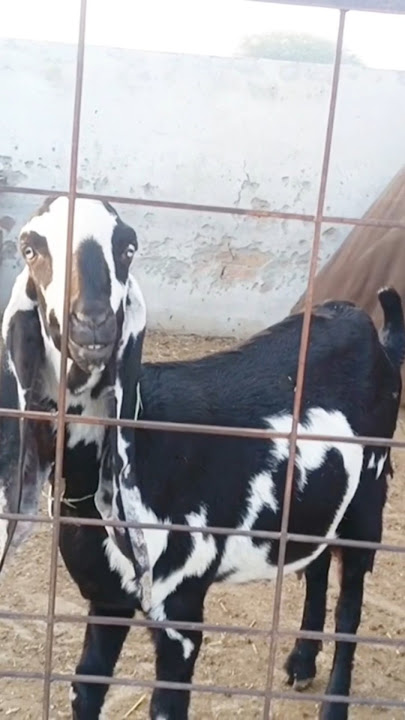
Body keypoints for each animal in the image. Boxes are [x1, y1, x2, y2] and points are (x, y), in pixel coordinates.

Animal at [0, 196, 404, 720]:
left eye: (128, 247)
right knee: (314, 565)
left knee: (350, 604)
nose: (92, 323)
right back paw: (300, 660)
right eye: (30, 249)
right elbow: (84, 688)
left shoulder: (181, 612)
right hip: (317, 498)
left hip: (369, 500)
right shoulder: (106, 602)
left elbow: (167, 705)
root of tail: (372, 332)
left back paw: (333, 701)